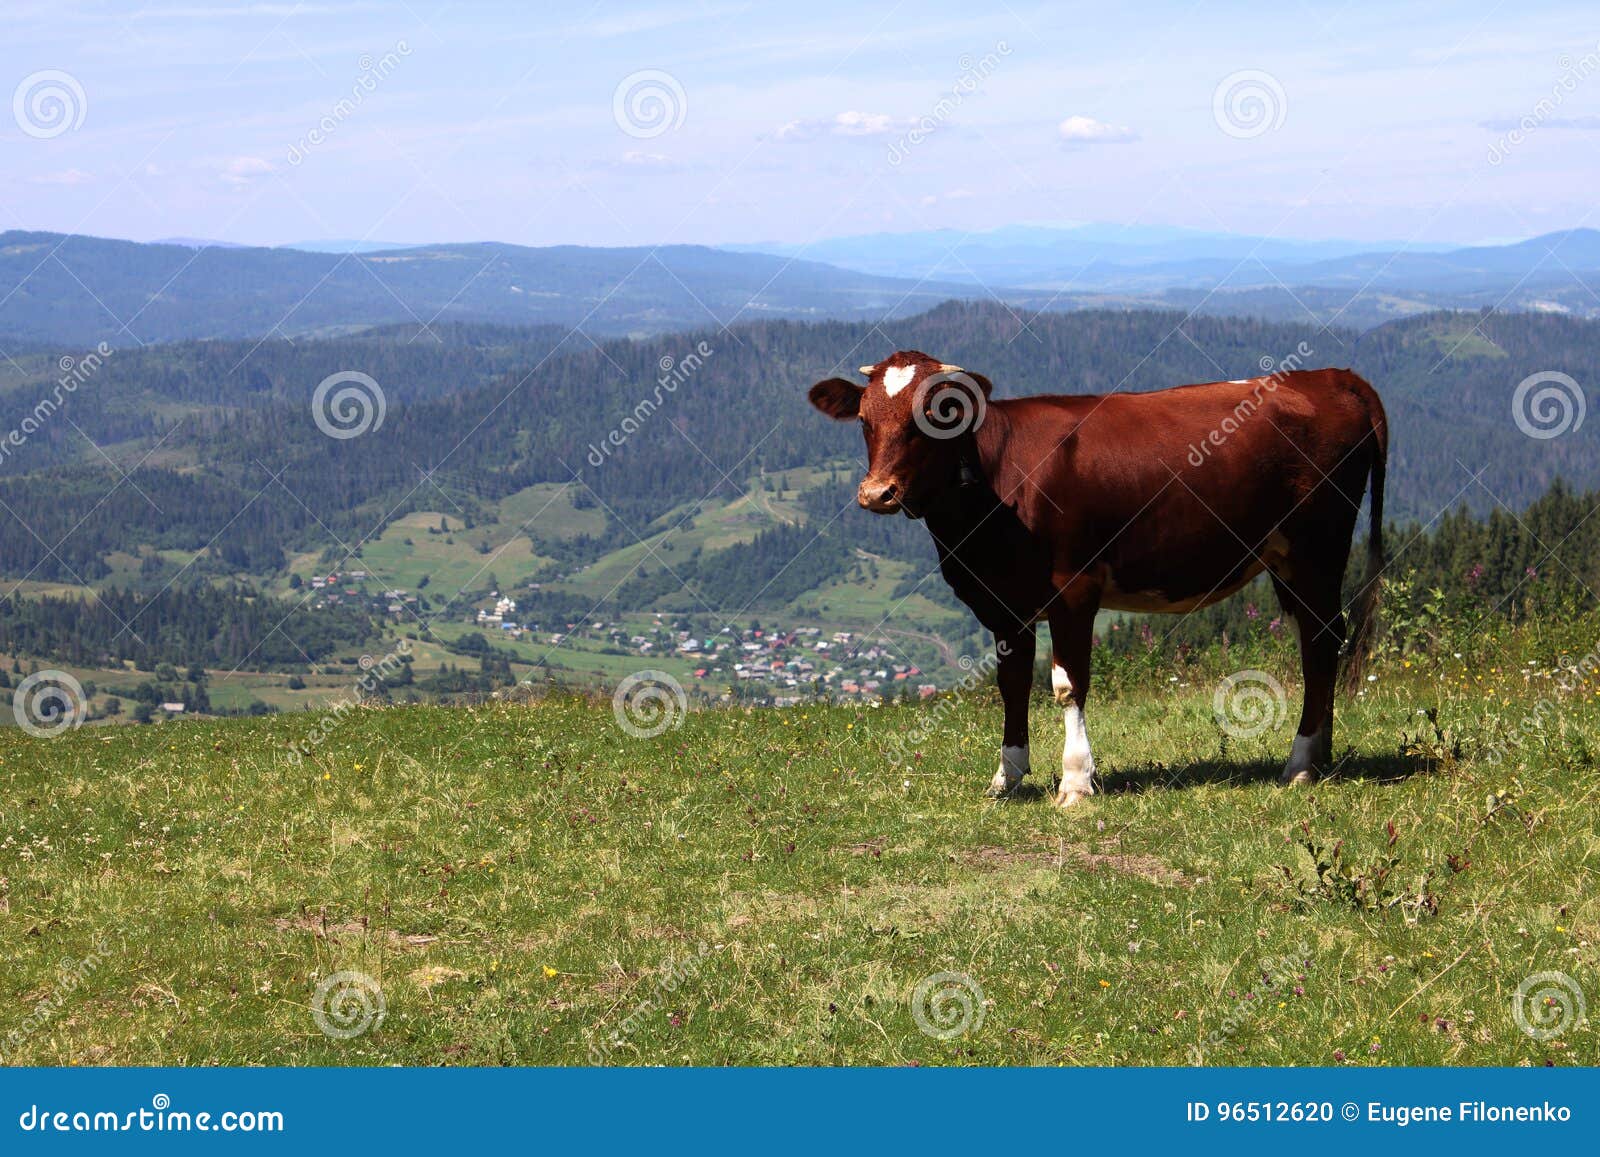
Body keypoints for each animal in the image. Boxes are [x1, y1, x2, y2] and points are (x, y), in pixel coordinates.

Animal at [808, 350, 1387, 808]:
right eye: (864, 419)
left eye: (934, 416)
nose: (876, 493)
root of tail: (1333, 376)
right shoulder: (1004, 602)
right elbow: (1012, 683)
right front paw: (1007, 778)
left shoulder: (1074, 589)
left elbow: (1068, 686)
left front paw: (1075, 782)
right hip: (1287, 559)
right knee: (1318, 642)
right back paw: (1320, 753)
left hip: (1319, 548)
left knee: (1322, 641)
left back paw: (1301, 763)